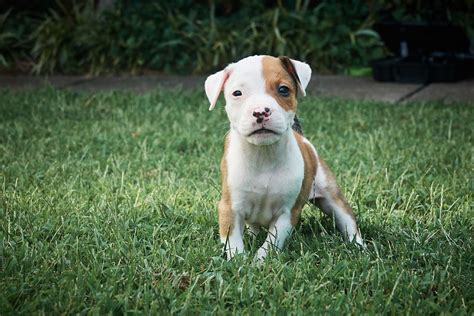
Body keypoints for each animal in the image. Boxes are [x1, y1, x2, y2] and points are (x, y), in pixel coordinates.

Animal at [204, 55, 362, 260]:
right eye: (237, 93)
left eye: (283, 90)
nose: (260, 111)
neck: (263, 155)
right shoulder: (229, 208)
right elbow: (234, 243)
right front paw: (239, 263)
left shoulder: (287, 213)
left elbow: (271, 243)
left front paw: (259, 262)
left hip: (331, 195)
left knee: (348, 221)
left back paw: (359, 248)